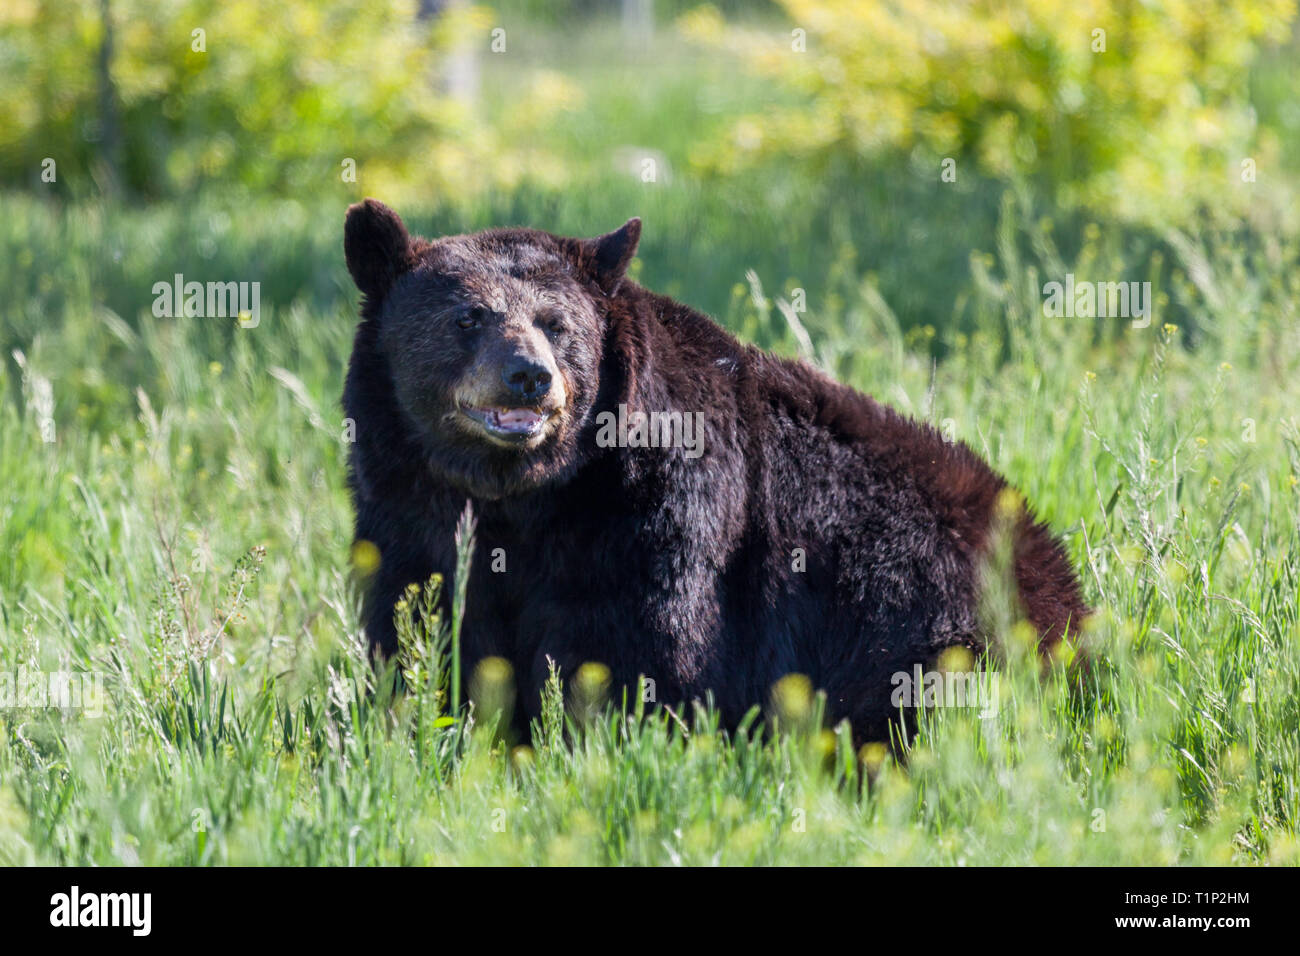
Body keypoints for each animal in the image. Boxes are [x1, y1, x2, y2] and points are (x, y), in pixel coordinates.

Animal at [342, 198, 1089, 743]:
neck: (526, 496)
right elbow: (422, 624)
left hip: (931, 622)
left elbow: (652, 647)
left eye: (557, 325)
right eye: (468, 317)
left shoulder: (665, 517)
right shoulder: (405, 510)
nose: (530, 376)